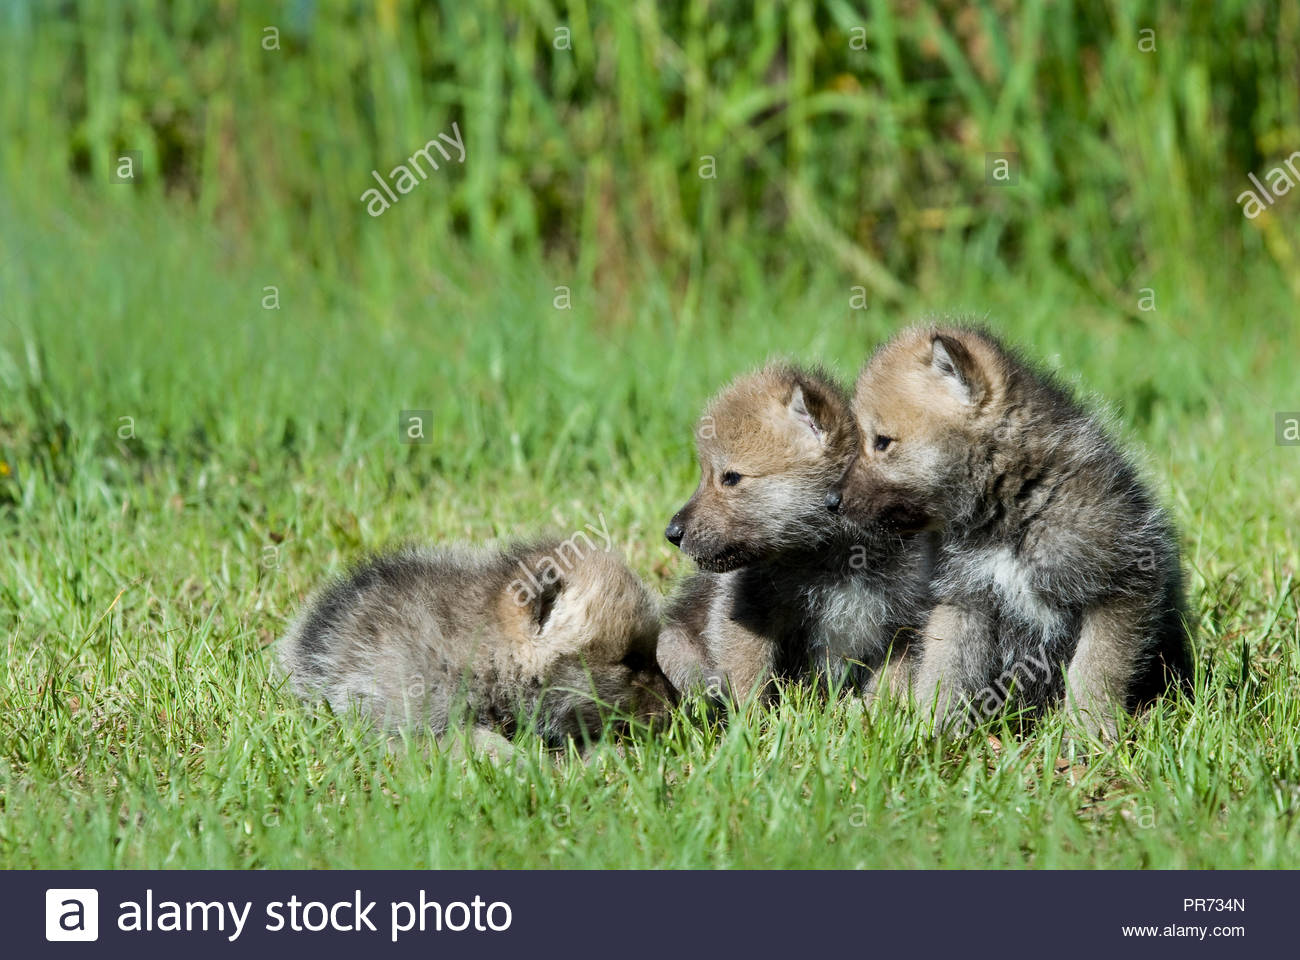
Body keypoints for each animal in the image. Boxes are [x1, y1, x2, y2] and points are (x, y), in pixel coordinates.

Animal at [658, 363, 935, 702]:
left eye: (731, 478)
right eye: (704, 476)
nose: (672, 532)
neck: (837, 556)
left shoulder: (903, 624)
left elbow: (890, 686)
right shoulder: (747, 610)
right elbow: (747, 677)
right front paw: (748, 717)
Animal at [826, 324, 1192, 737]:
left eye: (882, 442)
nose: (831, 501)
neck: (1008, 513)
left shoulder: (1123, 583)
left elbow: (1096, 669)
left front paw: (1087, 732)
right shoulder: (963, 601)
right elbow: (944, 671)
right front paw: (932, 731)